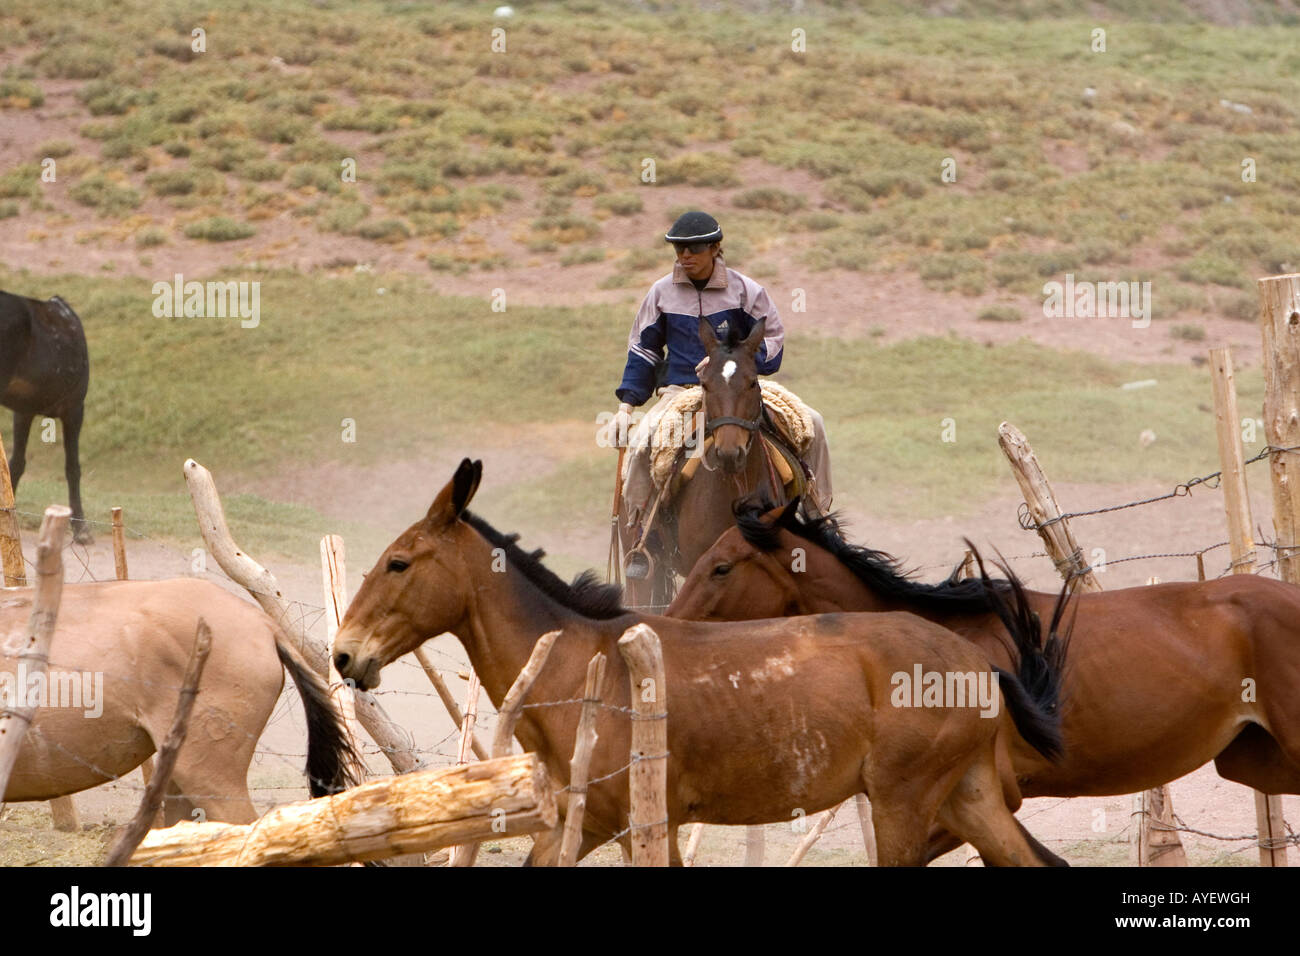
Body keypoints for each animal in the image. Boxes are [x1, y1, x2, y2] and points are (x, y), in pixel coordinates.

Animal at [333, 459, 1074, 866]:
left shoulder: (640, 824)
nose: (344, 654)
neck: (585, 665)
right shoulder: (587, 826)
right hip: (968, 798)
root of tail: (976, 663)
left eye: (399, 563)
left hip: (904, 804)